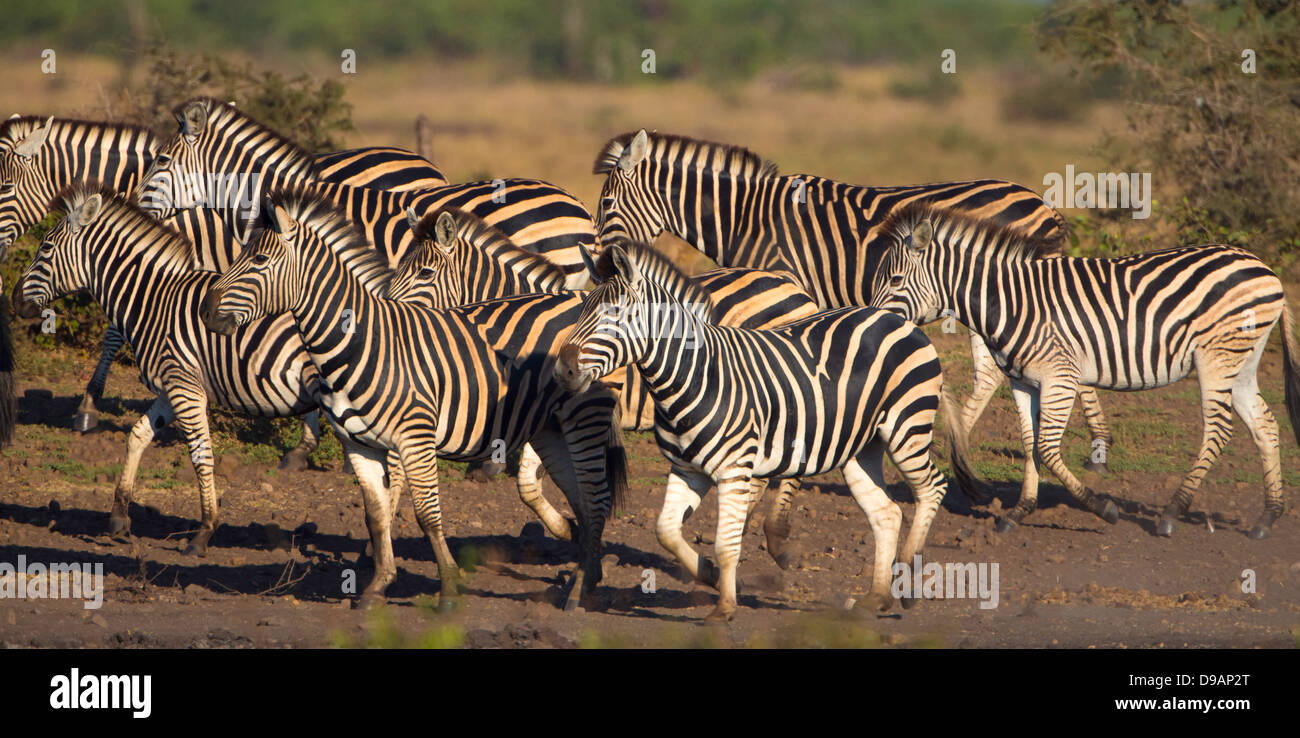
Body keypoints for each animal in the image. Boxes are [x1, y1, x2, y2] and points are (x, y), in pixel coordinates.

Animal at [199, 187, 626, 610]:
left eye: (259, 261)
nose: (205, 310)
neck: (361, 343)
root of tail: (579, 298)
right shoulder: (358, 444)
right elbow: (376, 515)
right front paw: (377, 585)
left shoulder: (415, 438)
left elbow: (427, 515)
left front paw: (449, 589)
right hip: (549, 428)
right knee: (582, 500)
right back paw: (585, 576)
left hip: (584, 419)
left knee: (597, 498)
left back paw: (578, 591)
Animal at [555, 241, 977, 620]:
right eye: (583, 311)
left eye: (613, 314)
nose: (563, 370)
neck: (693, 376)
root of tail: (898, 320)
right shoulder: (686, 469)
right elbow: (666, 531)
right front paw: (709, 574)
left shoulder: (734, 471)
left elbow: (726, 543)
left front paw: (725, 607)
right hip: (862, 447)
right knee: (886, 512)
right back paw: (876, 597)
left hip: (907, 426)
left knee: (931, 488)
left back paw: (907, 581)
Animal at [868, 202, 1300, 538]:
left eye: (895, 279)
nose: (874, 322)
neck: (1009, 301)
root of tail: (1265, 269)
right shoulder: (1023, 383)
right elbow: (1030, 444)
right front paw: (1019, 512)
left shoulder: (1060, 377)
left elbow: (1046, 448)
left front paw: (1102, 508)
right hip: (1241, 361)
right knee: (1264, 424)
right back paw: (1267, 517)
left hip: (1216, 356)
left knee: (1219, 428)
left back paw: (1171, 513)